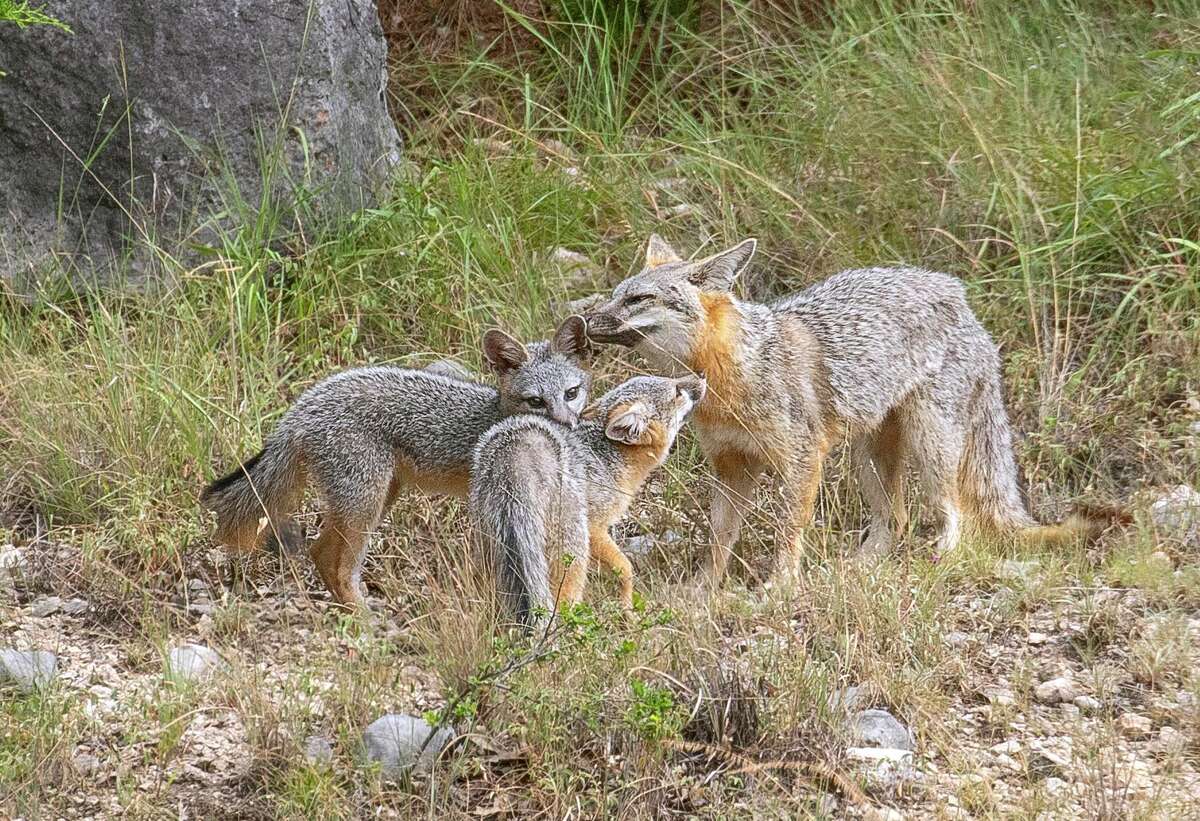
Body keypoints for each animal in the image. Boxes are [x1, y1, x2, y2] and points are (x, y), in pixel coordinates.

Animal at [201, 317, 592, 607]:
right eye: (536, 401)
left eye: (571, 393)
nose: (566, 425)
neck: (495, 412)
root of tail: (301, 409)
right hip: (365, 504)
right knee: (336, 564)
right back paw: (362, 622)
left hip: (376, 497)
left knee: (319, 552)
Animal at [469, 374, 706, 626]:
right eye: (677, 392)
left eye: (670, 379)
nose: (701, 376)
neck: (610, 458)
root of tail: (514, 460)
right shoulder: (595, 528)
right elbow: (625, 568)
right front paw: (627, 608)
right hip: (574, 551)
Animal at [583, 234, 1118, 586]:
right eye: (615, 295)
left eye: (638, 299)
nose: (584, 320)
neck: (728, 376)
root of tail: (958, 296)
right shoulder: (732, 464)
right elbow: (720, 536)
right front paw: (702, 593)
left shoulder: (802, 459)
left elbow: (787, 530)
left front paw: (778, 588)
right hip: (869, 458)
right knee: (896, 520)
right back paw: (859, 568)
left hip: (930, 445)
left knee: (954, 512)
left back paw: (939, 557)